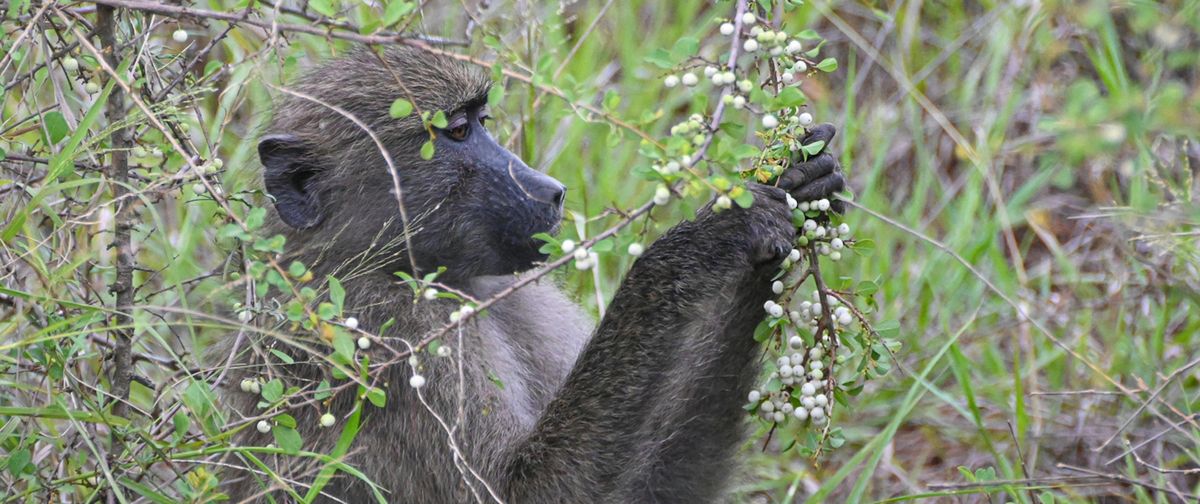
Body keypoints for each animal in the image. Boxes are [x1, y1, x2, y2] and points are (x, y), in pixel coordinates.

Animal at [213, 46, 844, 503]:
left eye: (481, 121)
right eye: (456, 132)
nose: (550, 190)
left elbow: (662, 489)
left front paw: (793, 186)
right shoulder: (387, 338)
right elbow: (521, 490)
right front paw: (711, 236)